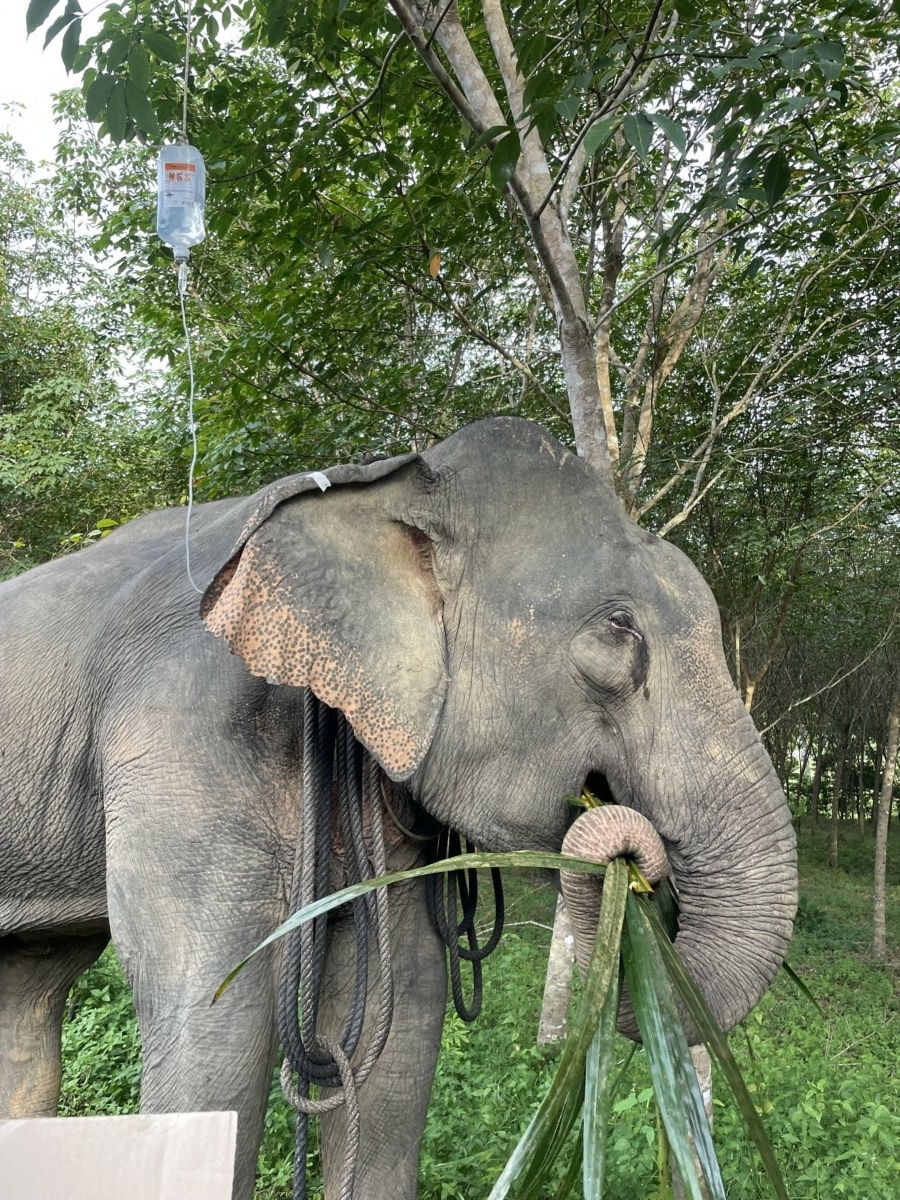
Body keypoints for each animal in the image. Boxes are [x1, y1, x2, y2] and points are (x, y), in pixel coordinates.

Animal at [0, 416, 796, 1199]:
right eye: (619, 628)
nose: (630, 860)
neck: (387, 481)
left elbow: (404, 1027)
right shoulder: (180, 727)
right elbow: (213, 1031)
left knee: (28, 1001)